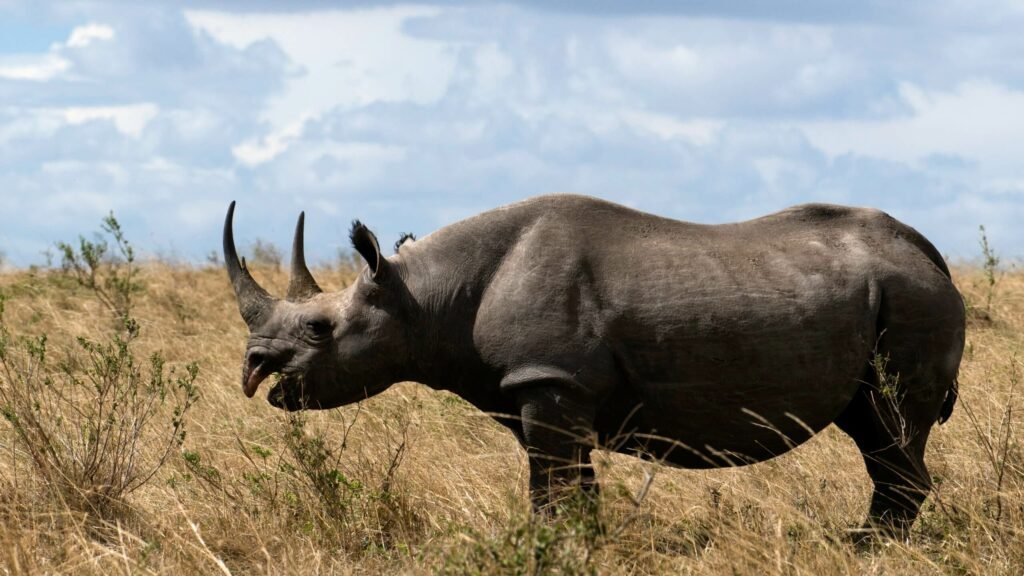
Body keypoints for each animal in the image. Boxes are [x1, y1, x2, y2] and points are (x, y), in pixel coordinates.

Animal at [223, 194, 964, 539]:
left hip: (911, 299)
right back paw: (864, 541)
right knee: (874, 429)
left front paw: (552, 548)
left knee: (890, 428)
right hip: (896, 293)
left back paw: (861, 547)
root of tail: (931, 255)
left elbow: (551, 489)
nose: (253, 368)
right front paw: (584, 544)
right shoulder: (550, 387)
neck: (424, 295)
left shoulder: (547, 378)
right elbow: (571, 487)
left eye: (319, 330)